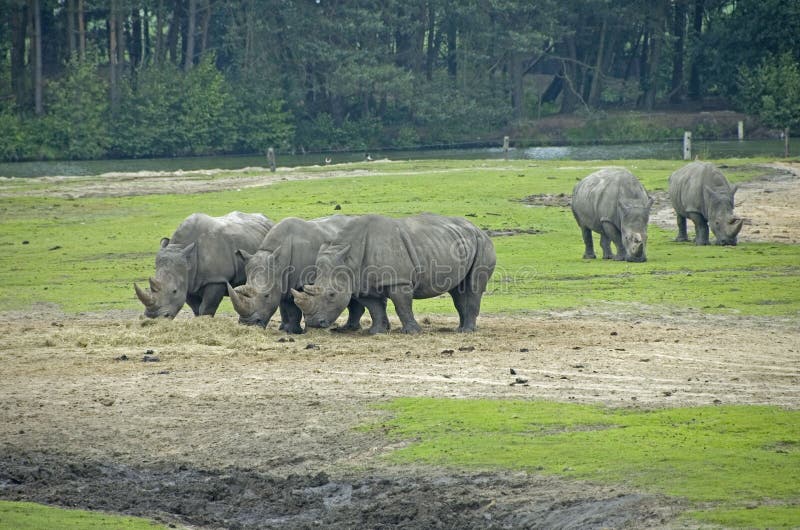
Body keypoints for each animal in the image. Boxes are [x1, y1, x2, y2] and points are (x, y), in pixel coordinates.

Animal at [134, 211, 272, 318]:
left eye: (174, 291)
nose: (153, 316)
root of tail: (268, 219)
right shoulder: (188, 282)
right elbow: (196, 309)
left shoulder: (216, 280)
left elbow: (206, 309)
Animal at [226, 216, 389, 334]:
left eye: (266, 296)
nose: (248, 324)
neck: (279, 262)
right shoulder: (285, 281)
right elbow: (287, 307)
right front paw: (288, 330)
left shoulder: (301, 282)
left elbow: (296, 306)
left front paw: (299, 331)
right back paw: (349, 328)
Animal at [291, 214, 496, 334]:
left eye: (332, 295)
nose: (314, 323)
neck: (348, 257)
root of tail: (477, 228)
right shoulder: (360, 282)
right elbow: (375, 308)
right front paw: (375, 332)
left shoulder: (399, 280)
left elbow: (402, 306)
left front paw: (412, 332)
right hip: (456, 241)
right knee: (458, 290)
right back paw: (459, 329)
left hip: (482, 243)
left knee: (473, 287)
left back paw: (466, 331)